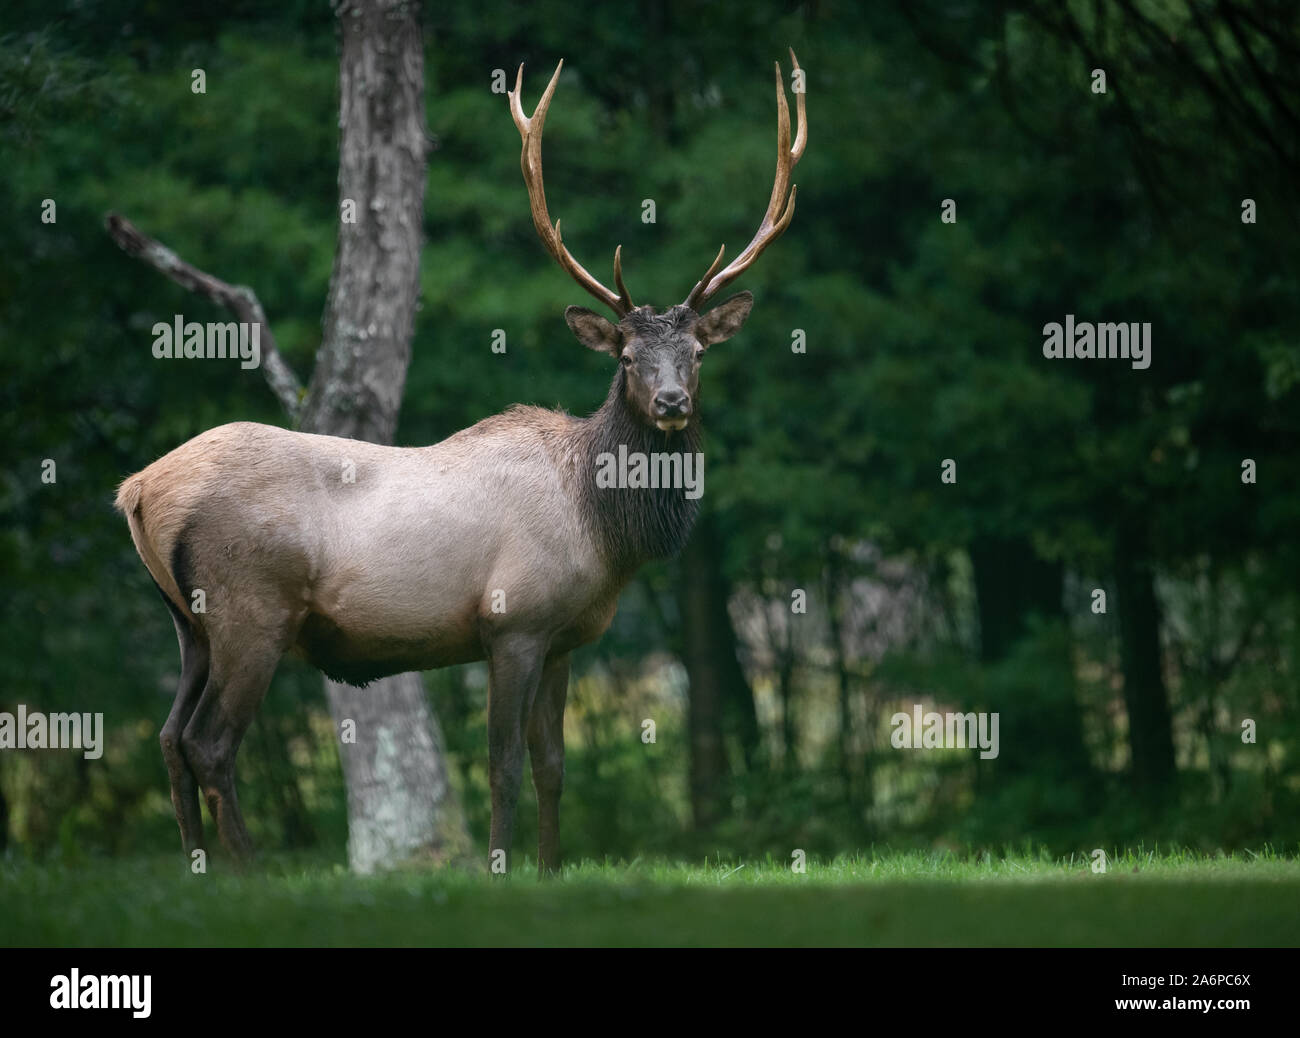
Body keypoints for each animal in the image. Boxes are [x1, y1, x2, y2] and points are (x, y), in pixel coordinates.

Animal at [115, 52, 806, 875]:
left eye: (697, 353)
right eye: (628, 357)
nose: (671, 401)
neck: (605, 530)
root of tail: (136, 490)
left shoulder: (564, 637)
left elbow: (552, 763)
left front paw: (549, 867)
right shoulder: (512, 622)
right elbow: (502, 761)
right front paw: (501, 866)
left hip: (188, 622)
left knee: (168, 737)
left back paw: (200, 871)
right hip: (251, 607)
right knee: (210, 743)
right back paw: (249, 873)